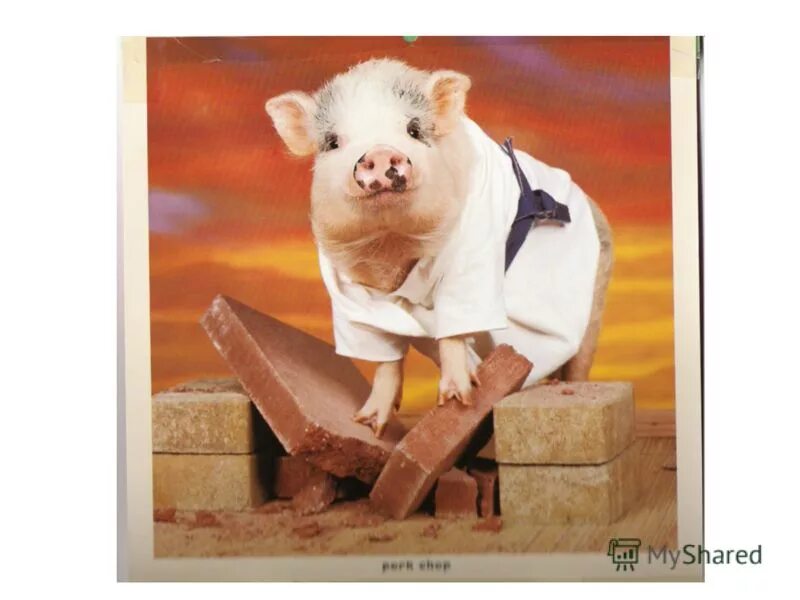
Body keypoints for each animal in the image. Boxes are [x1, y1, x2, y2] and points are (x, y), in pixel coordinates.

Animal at [266, 58, 613, 437]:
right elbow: (385, 356)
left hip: (592, 304)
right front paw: (369, 424)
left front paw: (457, 400)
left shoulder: (473, 255)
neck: (394, 245)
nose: (380, 151)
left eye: (414, 130)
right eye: (332, 141)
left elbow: (455, 325)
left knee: (579, 360)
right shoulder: (347, 288)